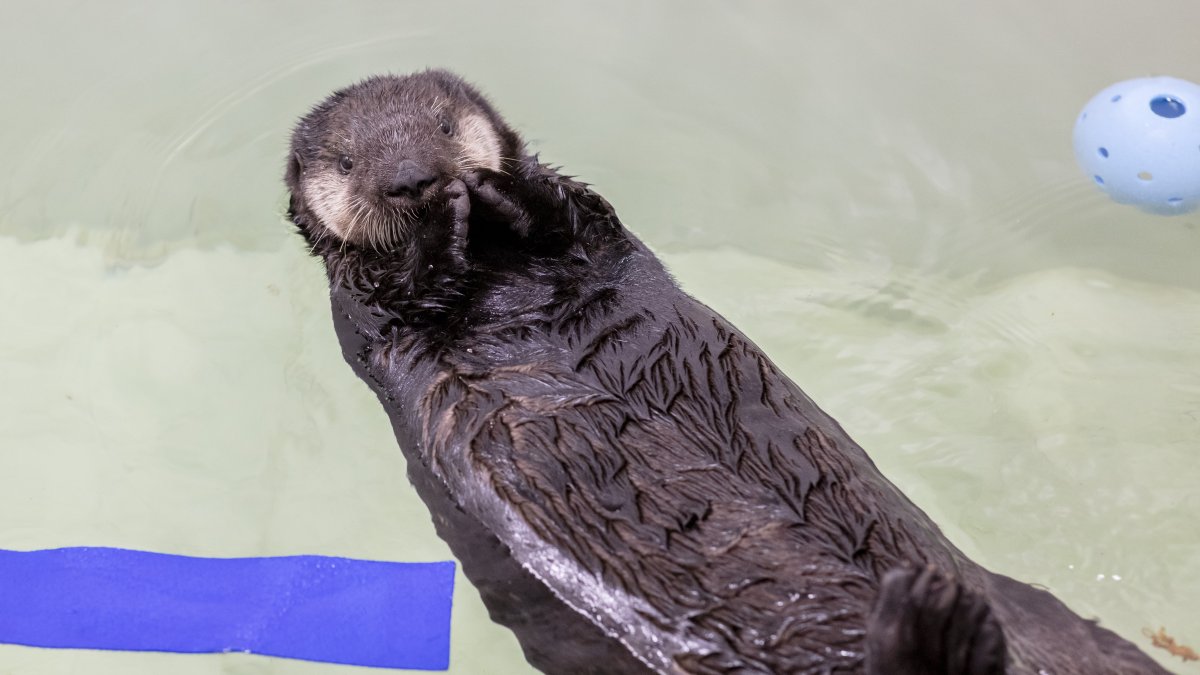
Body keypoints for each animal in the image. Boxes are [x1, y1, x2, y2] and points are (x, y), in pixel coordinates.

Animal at [285, 70, 1168, 674]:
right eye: (347, 158)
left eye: (442, 123)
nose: (413, 180)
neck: (501, 277)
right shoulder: (373, 319)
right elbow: (410, 291)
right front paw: (441, 228)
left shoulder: (599, 240)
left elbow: (579, 217)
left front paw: (502, 188)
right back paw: (933, 621)